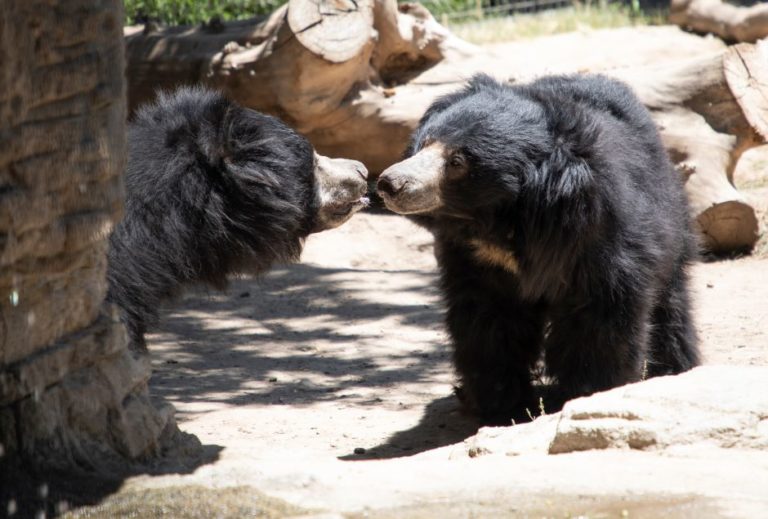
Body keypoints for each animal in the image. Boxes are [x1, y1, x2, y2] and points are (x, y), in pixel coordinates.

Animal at [376, 74, 700, 424]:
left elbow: (597, 318)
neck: (500, 219)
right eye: (425, 143)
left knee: (670, 303)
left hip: (670, 220)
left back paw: (673, 368)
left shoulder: (597, 238)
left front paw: (589, 390)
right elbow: (489, 321)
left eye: (457, 162)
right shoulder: (477, 259)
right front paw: (501, 404)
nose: (389, 183)